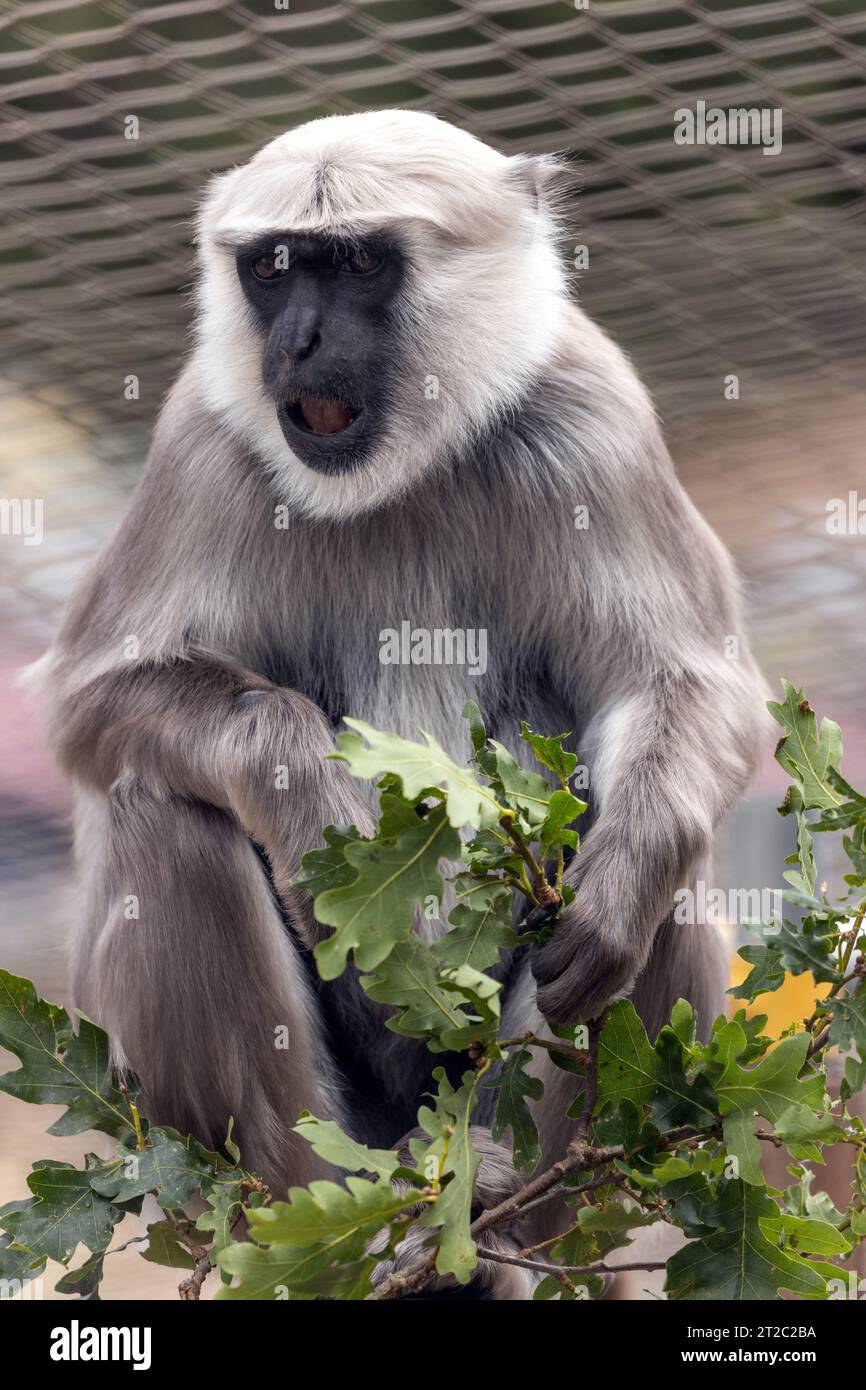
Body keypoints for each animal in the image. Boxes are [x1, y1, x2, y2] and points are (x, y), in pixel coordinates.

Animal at [37, 110, 767, 1287]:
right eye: (273, 268)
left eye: (357, 265)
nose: (294, 344)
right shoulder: (203, 438)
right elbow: (93, 704)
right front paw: (308, 802)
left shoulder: (590, 413)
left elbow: (682, 683)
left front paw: (617, 889)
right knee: (164, 813)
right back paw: (330, 1229)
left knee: (663, 849)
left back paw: (505, 1226)